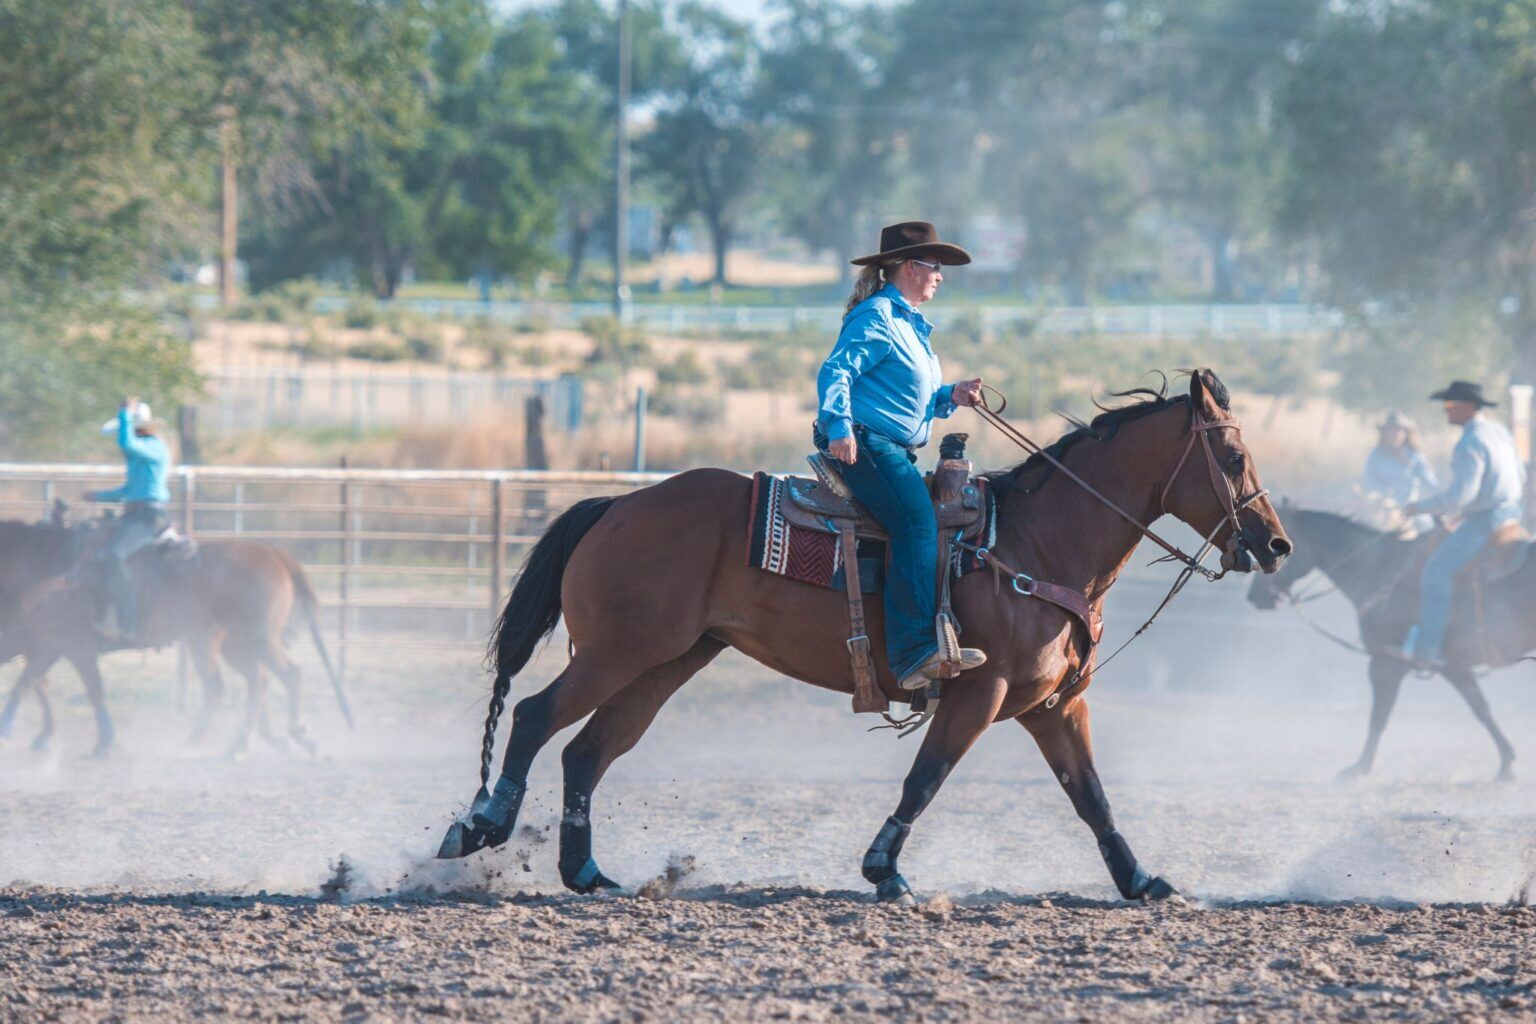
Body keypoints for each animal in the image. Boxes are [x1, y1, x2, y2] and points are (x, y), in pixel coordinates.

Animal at [0, 516, 351, 756]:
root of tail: (275, 554)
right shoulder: (46, 647)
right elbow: (36, 685)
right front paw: (44, 736)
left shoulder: (70, 646)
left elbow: (72, 689)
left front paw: (100, 742)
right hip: (229, 645)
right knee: (253, 682)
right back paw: (241, 740)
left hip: (255, 639)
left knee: (286, 676)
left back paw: (287, 734)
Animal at [436, 369, 1292, 903]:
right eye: (1232, 455)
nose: (1277, 544)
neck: (1038, 544)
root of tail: (615, 504)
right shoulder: (980, 690)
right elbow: (926, 778)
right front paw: (885, 870)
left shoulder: (1054, 706)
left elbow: (1092, 798)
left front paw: (1143, 881)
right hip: (618, 653)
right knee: (534, 718)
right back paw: (481, 826)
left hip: (667, 662)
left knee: (588, 751)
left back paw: (586, 873)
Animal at [1247, 505, 1521, 781]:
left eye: (1274, 545)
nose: (1253, 596)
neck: (1381, 568)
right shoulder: (1454, 666)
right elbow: (1480, 708)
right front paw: (1507, 762)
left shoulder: (1385, 662)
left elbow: (1379, 715)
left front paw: (1359, 768)